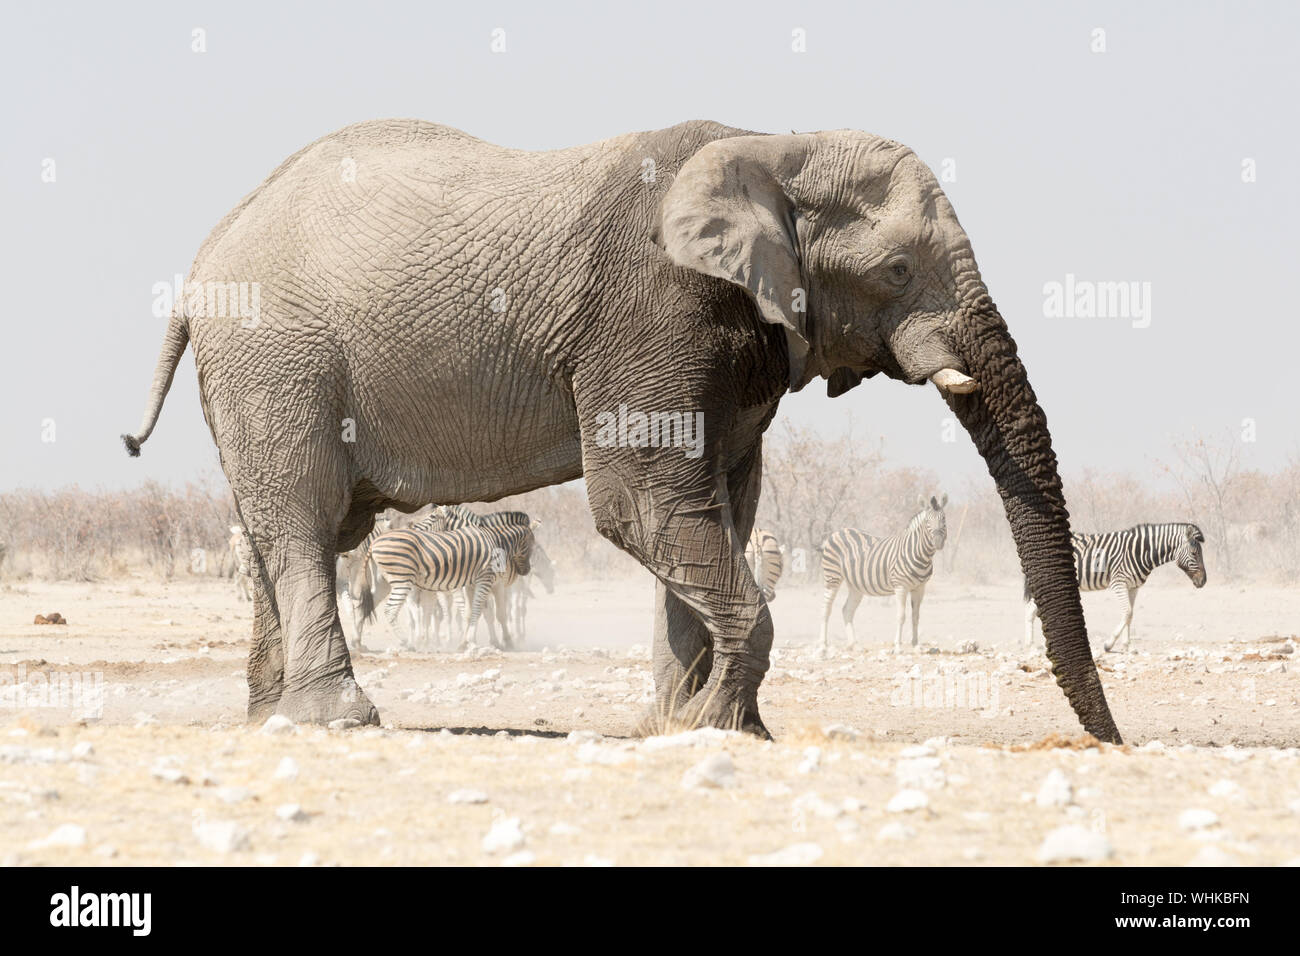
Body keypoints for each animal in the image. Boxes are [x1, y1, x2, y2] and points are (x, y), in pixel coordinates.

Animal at [122, 119, 1121, 742]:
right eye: (899, 268)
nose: (1115, 744)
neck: (775, 146)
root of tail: (201, 263)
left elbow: (721, 506)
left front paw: (685, 727)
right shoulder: (653, 310)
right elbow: (642, 503)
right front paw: (714, 727)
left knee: (291, 530)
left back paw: (271, 719)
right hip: (277, 359)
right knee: (302, 520)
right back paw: (338, 720)